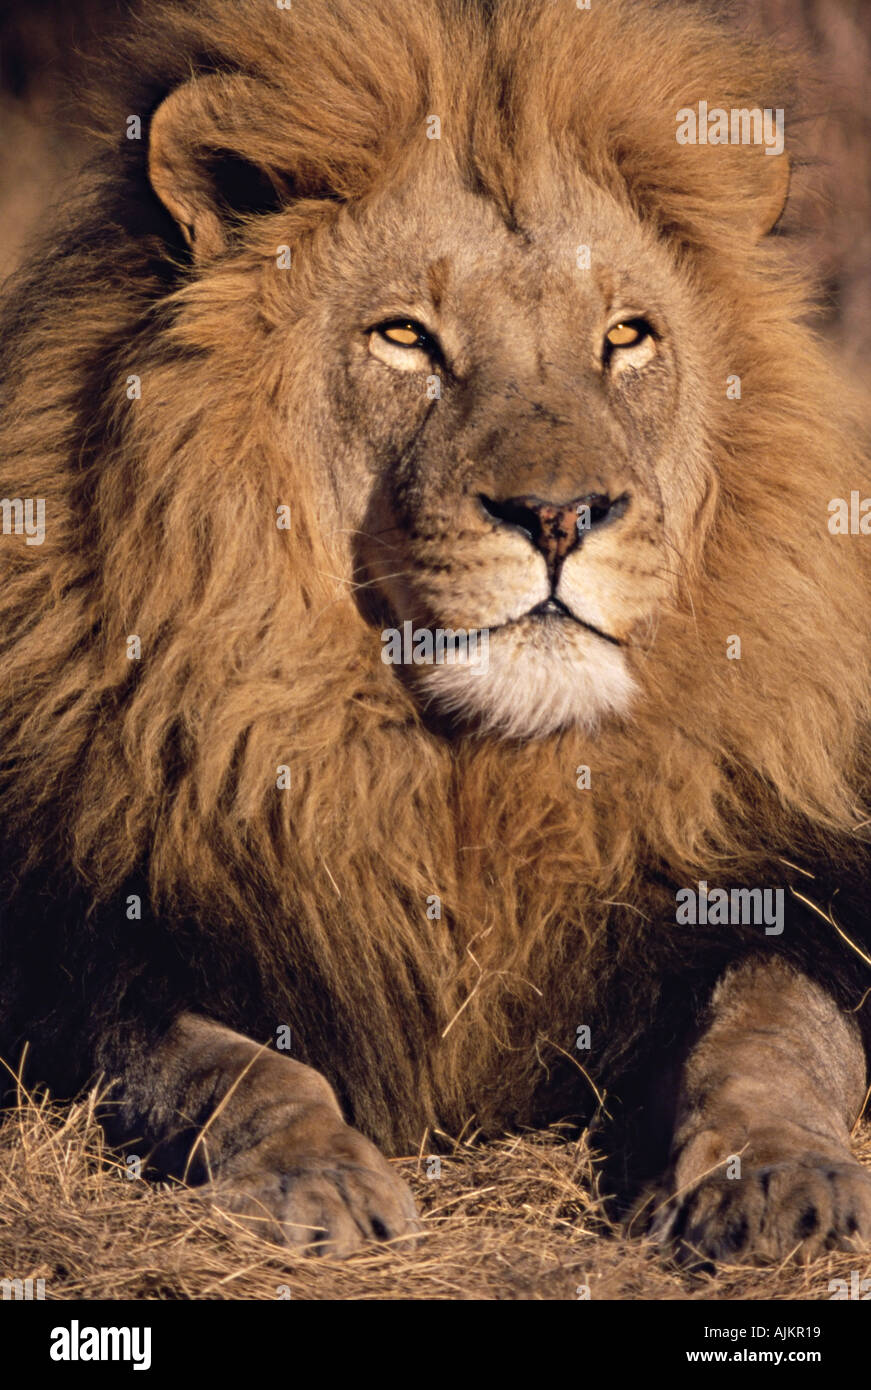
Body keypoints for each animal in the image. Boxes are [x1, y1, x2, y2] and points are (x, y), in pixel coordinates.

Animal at [1, 0, 870, 1266]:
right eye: (406, 338)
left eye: (626, 337)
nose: (559, 513)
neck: (467, 779)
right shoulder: (80, 933)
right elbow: (217, 1059)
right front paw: (309, 1175)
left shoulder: (781, 884)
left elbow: (769, 1017)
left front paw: (772, 1178)